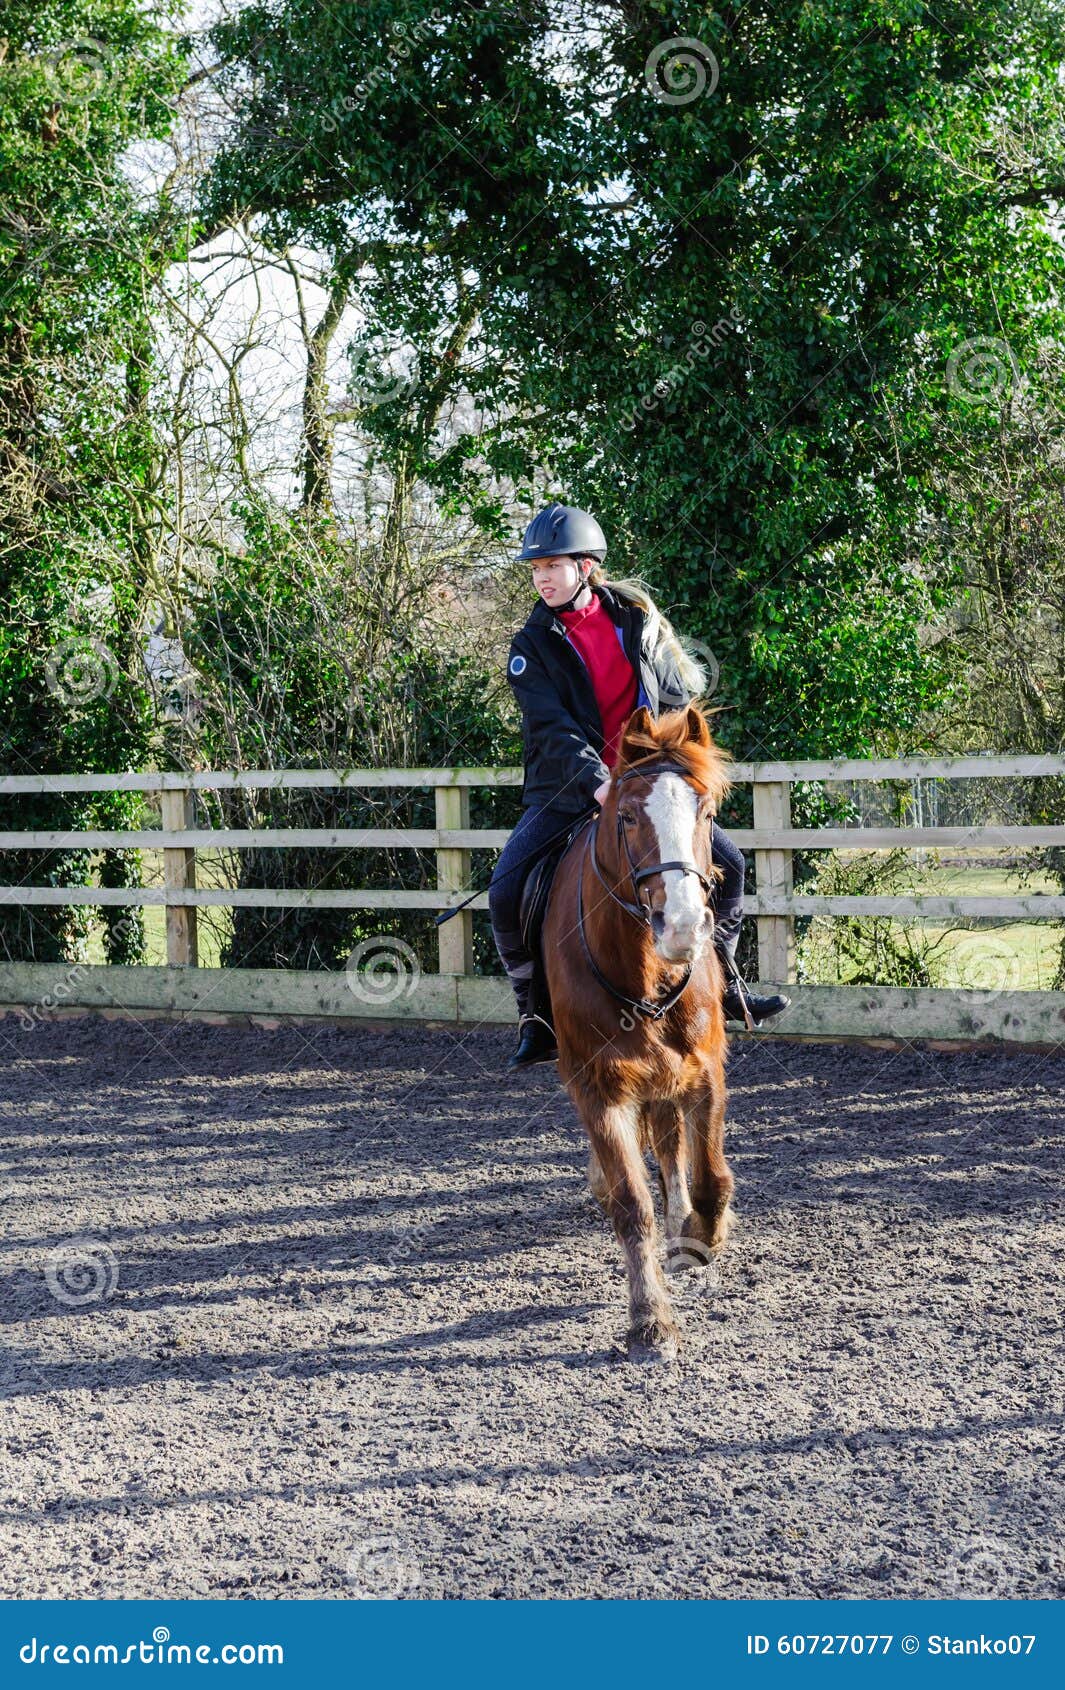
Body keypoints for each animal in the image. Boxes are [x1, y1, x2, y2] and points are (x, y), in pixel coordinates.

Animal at [542, 703, 734, 1363]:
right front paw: (650, 1321)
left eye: (707, 813)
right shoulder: (597, 1085)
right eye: (625, 816)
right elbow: (632, 1204)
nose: (682, 926)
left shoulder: (703, 1070)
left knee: (672, 1151)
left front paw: (699, 1237)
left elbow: (708, 1178)